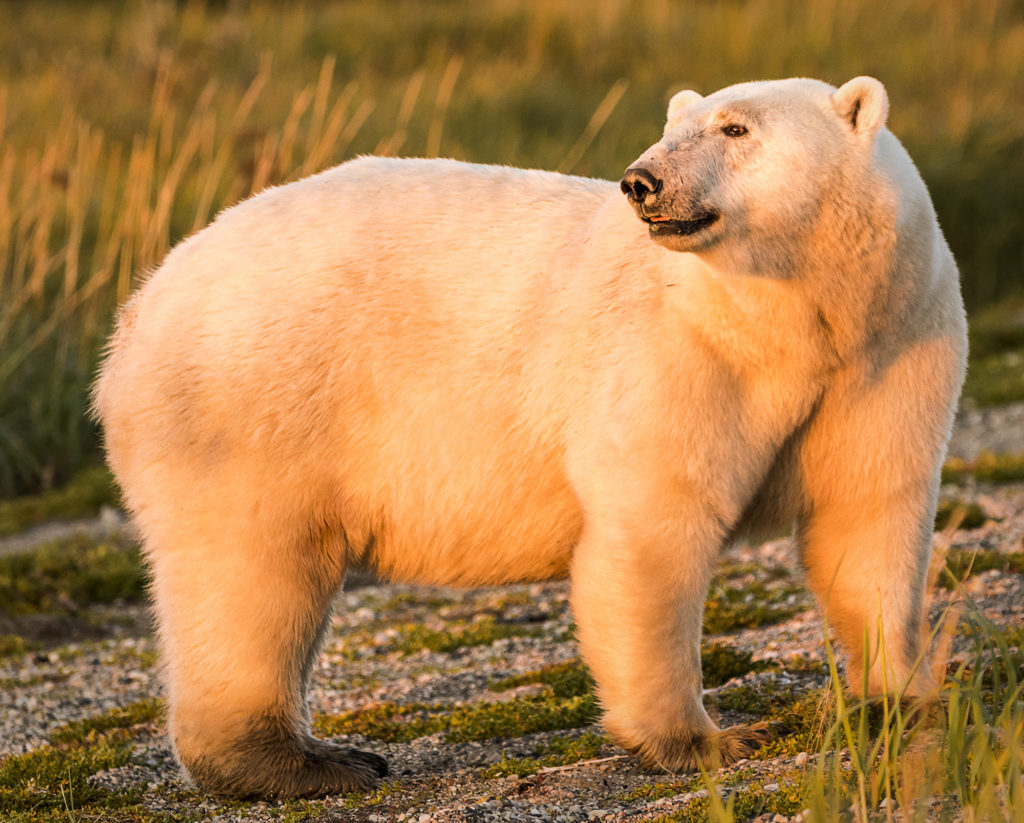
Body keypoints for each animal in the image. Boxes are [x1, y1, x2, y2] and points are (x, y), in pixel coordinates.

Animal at [93, 76, 967, 799]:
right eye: (674, 124)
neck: (798, 316)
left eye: (734, 127)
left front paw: (905, 693)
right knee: (251, 575)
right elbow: (653, 528)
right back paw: (308, 761)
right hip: (251, 405)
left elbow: (868, 514)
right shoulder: (679, 352)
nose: (642, 182)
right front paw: (703, 740)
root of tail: (139, 307)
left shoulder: (887, 347)